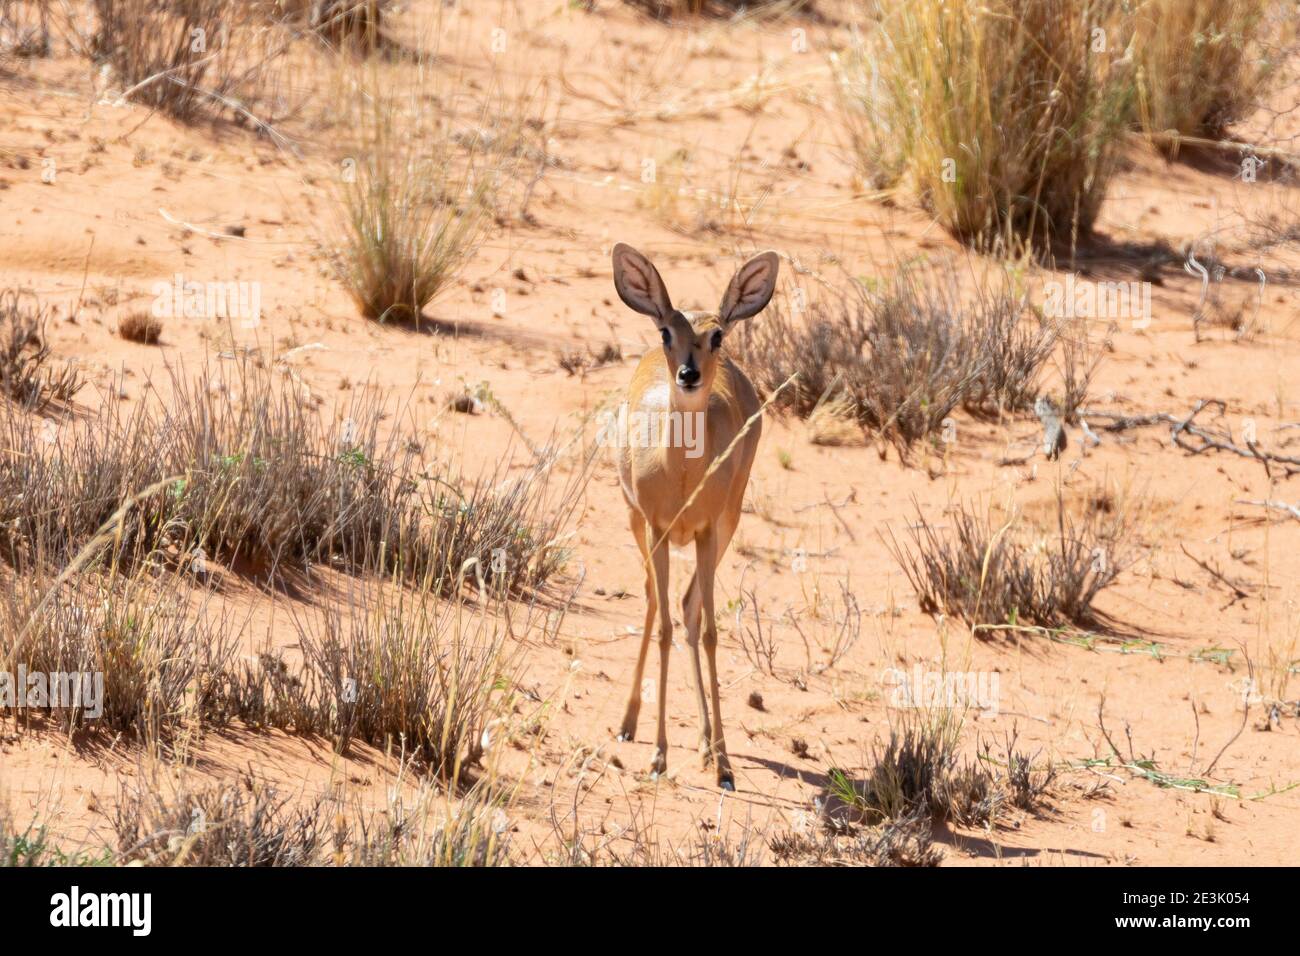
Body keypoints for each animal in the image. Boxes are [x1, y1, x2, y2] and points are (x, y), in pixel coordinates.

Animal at [609, 242, 779, 791]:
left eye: (717, 335)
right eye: (667, 331)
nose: (688, 374)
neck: (682, 474)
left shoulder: (704, 532)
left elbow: (707, 632)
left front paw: (724, 765)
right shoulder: (659, 529)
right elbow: (663, 628)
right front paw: (659, 755)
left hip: (727, 528)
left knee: (687, 608)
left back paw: (708, 744)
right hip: (636, 524)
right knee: (653, 604)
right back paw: (629, 723)